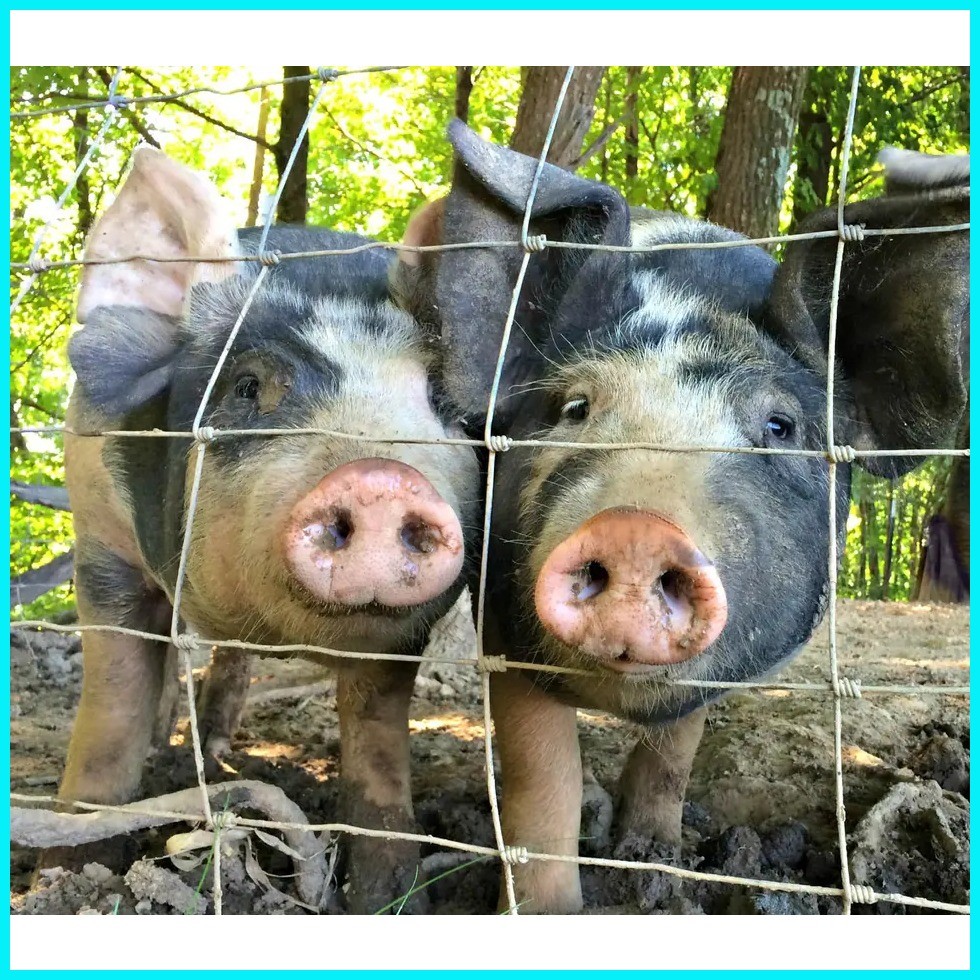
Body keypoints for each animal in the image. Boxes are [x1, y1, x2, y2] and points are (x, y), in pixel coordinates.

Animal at [54, 146, 480, 913]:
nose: (380, 478)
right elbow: (112, 705)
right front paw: (73, 861)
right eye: (248, 387)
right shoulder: (102, 539)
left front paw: (386, 897)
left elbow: (377, 744)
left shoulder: (400, 633)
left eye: (444, 404)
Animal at [394, 121, 969, 912]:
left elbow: (676, 747)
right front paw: (553, 907)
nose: (635, 529)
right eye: (575, 407)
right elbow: (544, 772)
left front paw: (652, 855)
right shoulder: (502, 616)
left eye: (780, 425)